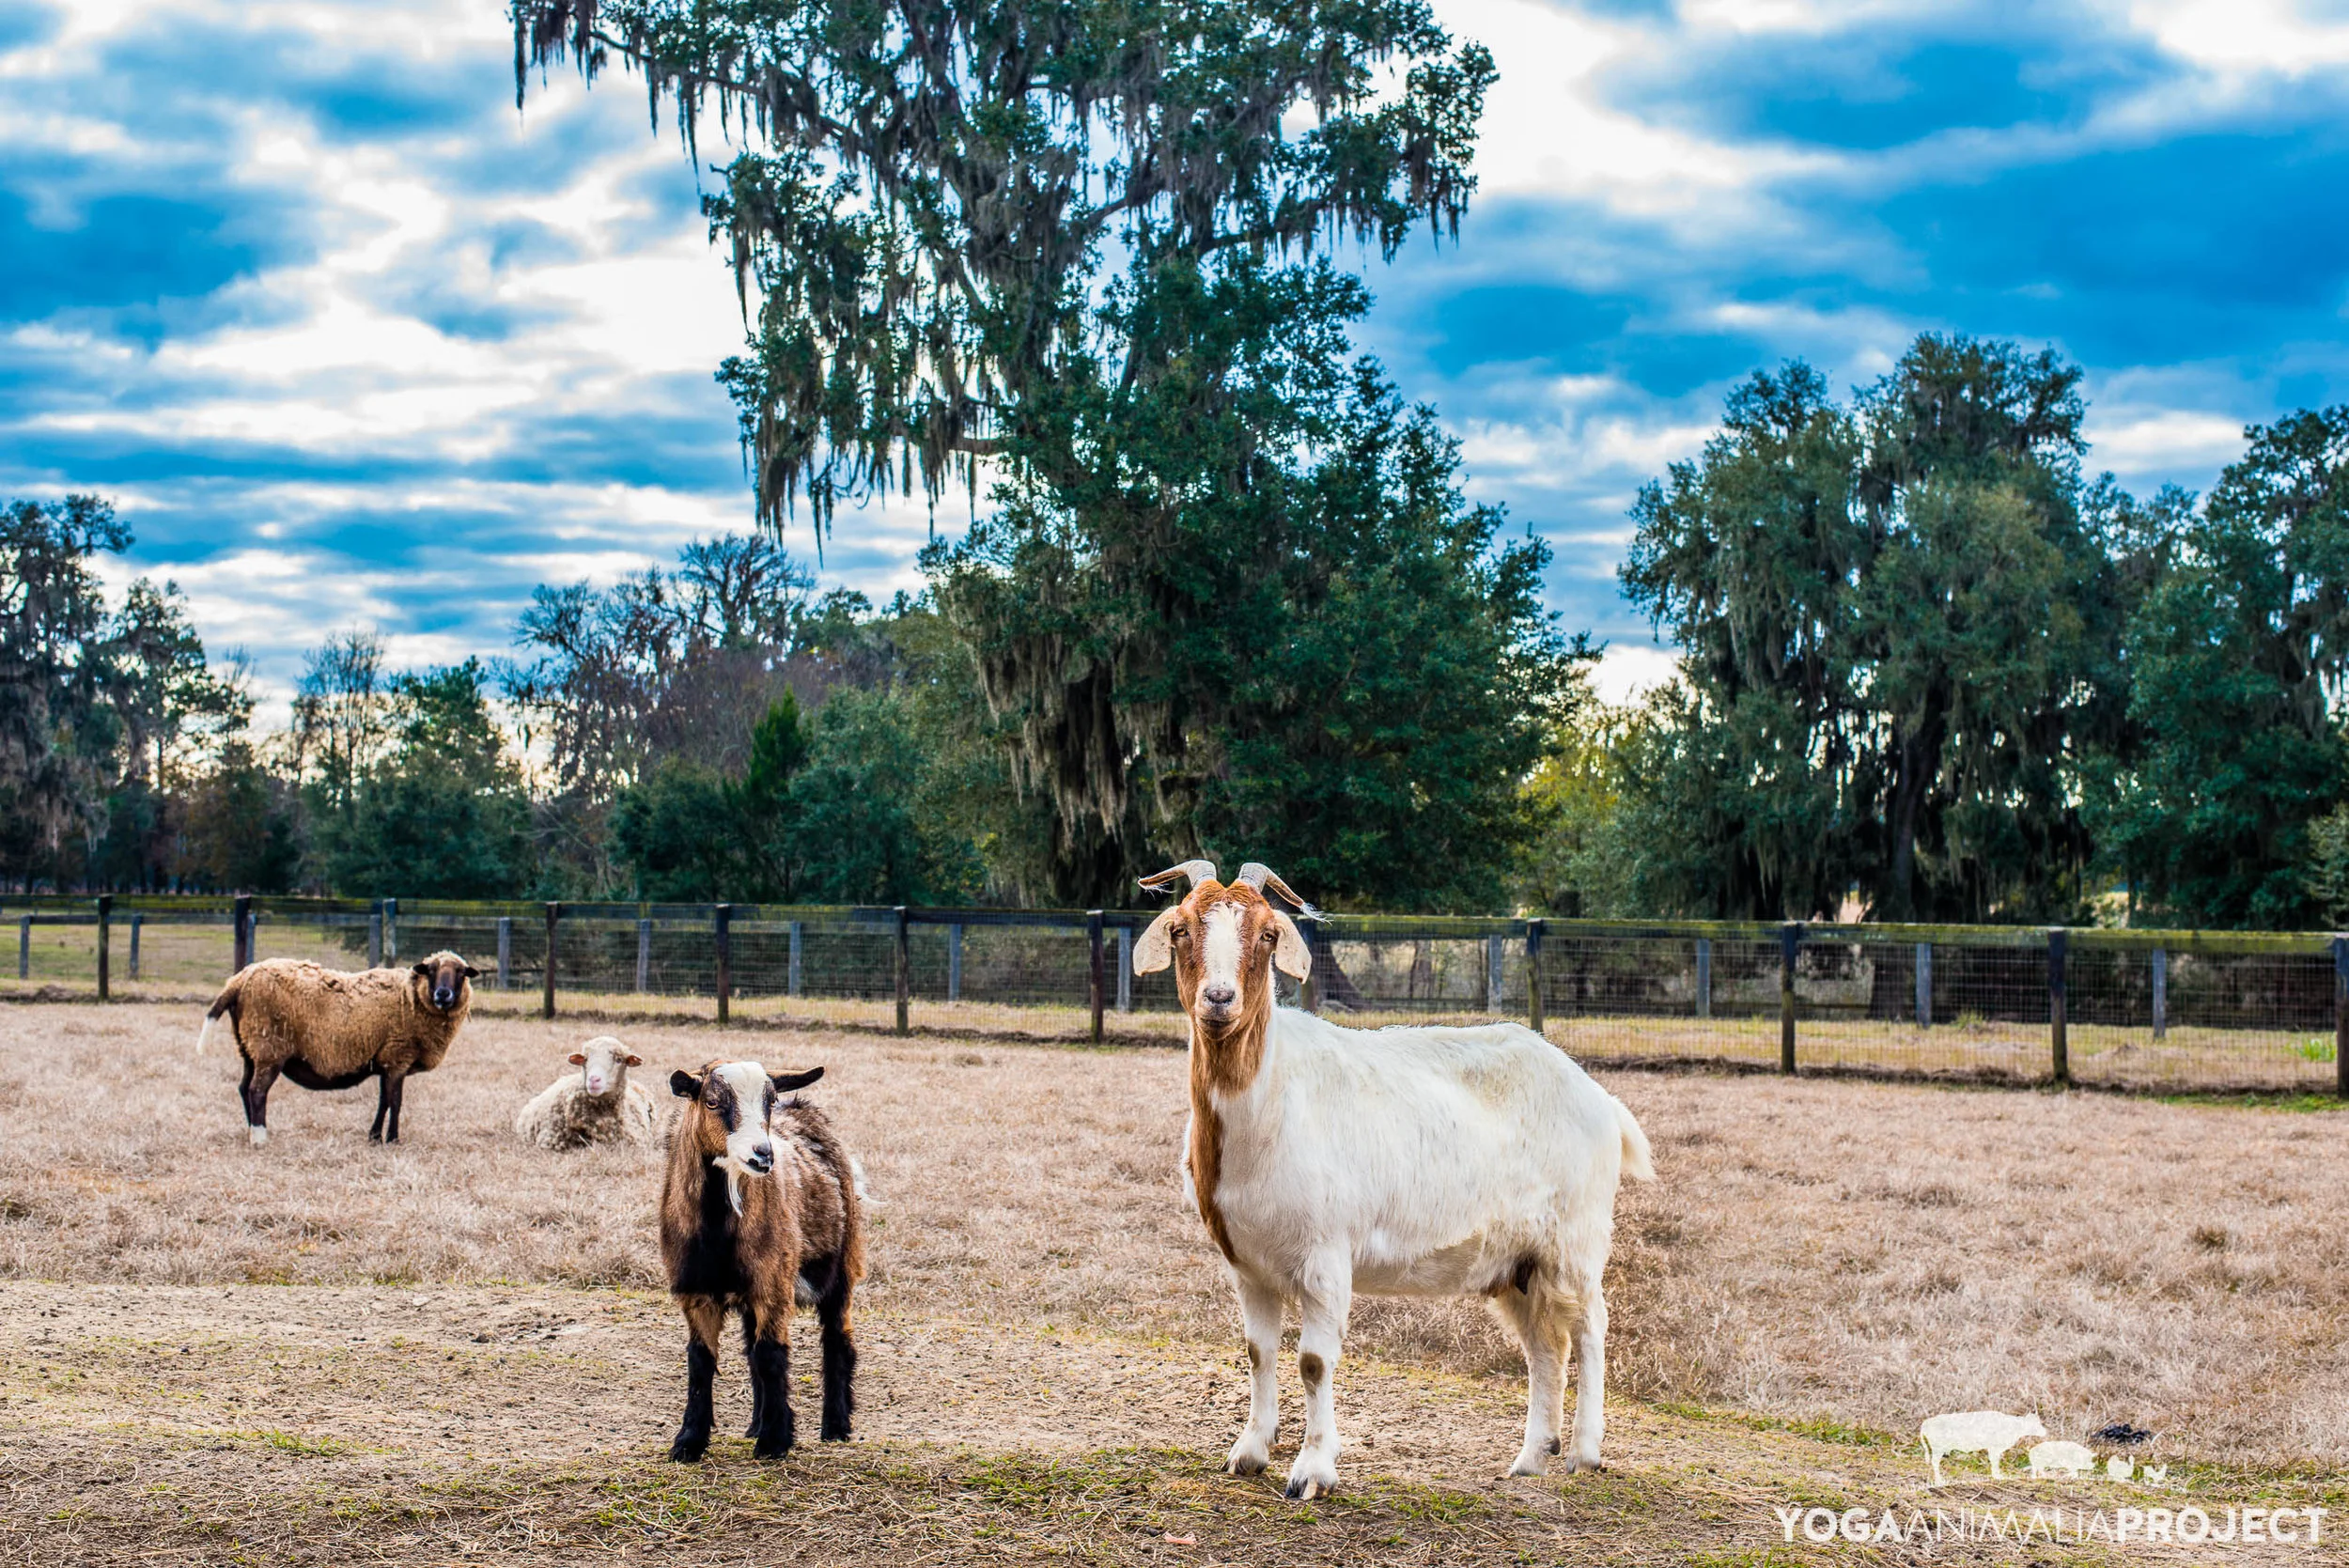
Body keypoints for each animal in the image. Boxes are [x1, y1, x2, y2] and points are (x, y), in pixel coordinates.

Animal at [197, 952, 475, 1145]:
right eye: (431, 970)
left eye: (461, 972)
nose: (443, 994)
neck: (413, 998)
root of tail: (239, 979)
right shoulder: (398, 1057)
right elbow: (395, 1102)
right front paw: (393, 1139)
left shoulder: (385, 1059)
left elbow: (383, 1101)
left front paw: (375, 1137)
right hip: (269, 1048)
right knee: (257, 1090)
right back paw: (259, 1137)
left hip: (248, 1048)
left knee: (244, 1087)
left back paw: (251, 1130)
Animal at [660, 1060, 863, 1462]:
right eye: (712, 1102)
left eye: (769, 1102)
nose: (763, 1155)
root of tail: (803, 1107)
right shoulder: (696, 1292)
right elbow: (700, 1360)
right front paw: (689, 1441)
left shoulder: (774, 1283)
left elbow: (772, 1355)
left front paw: (774, 1440)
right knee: (751, 1349)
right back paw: (755, 1424)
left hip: (842, 1265)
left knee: (836, 1339)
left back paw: (835, 1426)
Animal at [1131, 861, 1654, 1500]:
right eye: (1181, 929)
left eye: (1269, 934)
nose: (1219, 999)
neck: (1270, 1093)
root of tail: (1600, 1099)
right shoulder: (1247, 1264)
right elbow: (1258, 1352)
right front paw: (1250, 1452)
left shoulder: (1326, 1256)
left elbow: (1313, 1362)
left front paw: (1311, 1472)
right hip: (1516, 1264)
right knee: (1544, 1346)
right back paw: (1531, 1458)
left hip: (1574, 1241)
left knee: (1590, 1329)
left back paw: (1584, 1452)